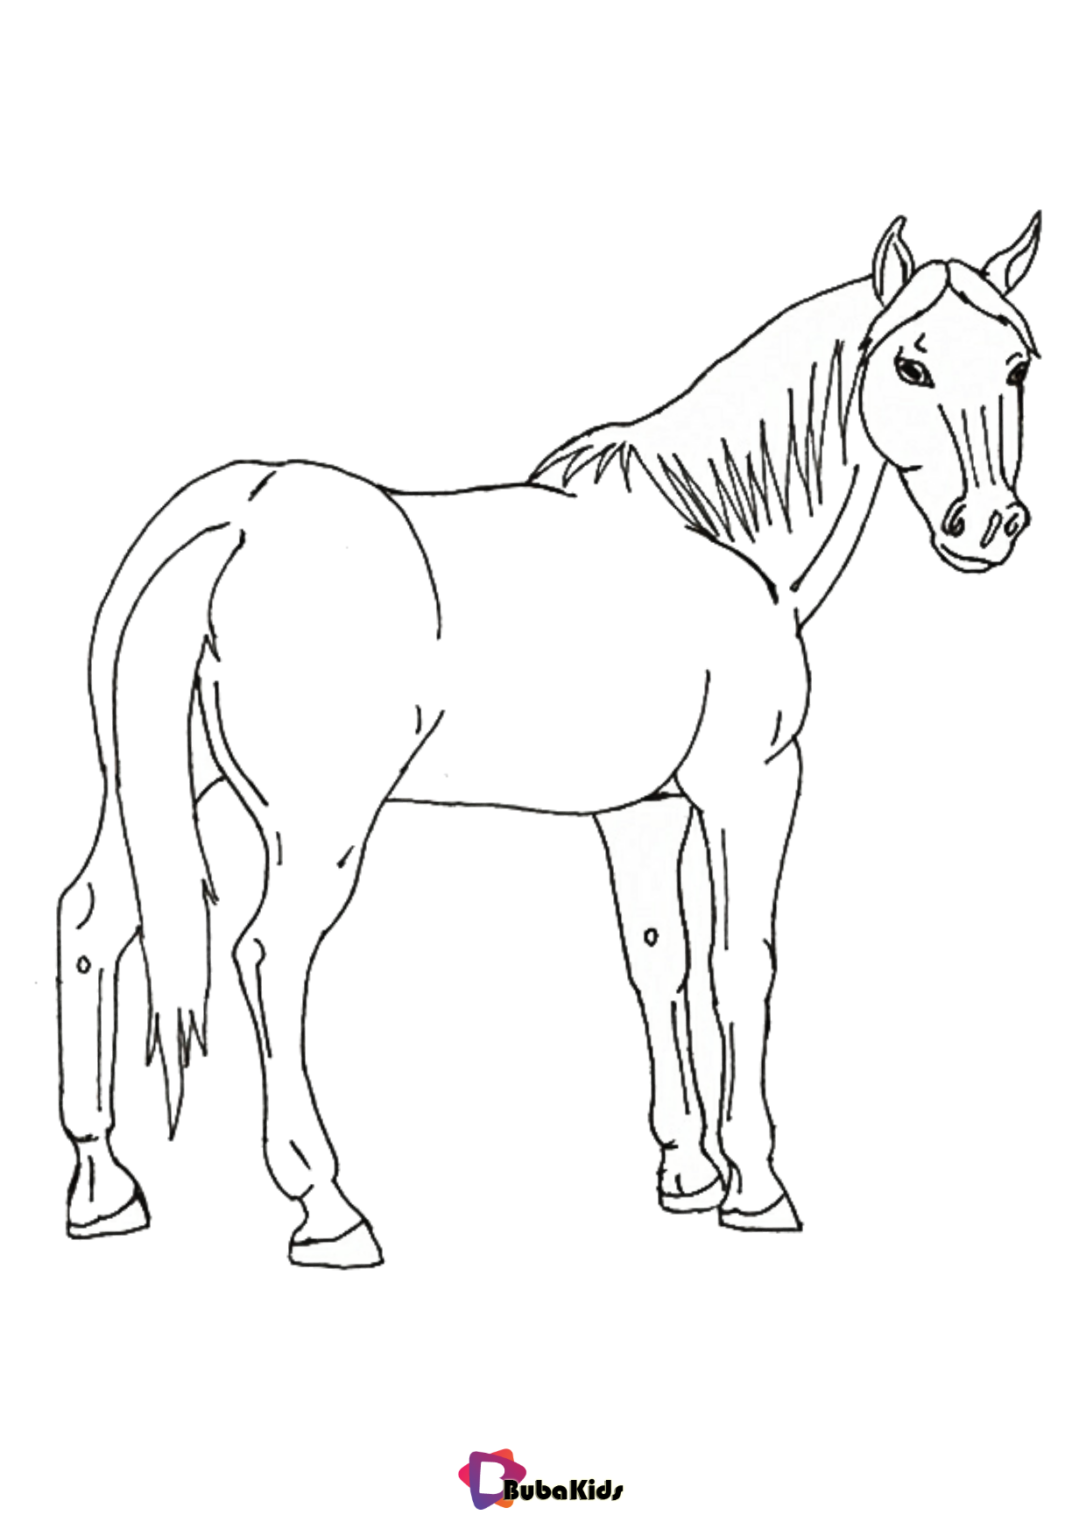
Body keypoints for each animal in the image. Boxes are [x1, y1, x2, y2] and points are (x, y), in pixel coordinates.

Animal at [57, 213, 1043, 1267]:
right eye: (910, 364)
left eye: (1017, 364)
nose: (989, 524)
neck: (713, 534)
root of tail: (239, 516)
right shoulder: (752, 786)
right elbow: (741, 963)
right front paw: (755, 1183)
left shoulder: (642, 813)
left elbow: (659, 959)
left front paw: (687, 1170)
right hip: (318, 830)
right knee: (269, 959)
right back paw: (326, 1204)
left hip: (163, 797)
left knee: (90, 926)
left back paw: (102, 1186)